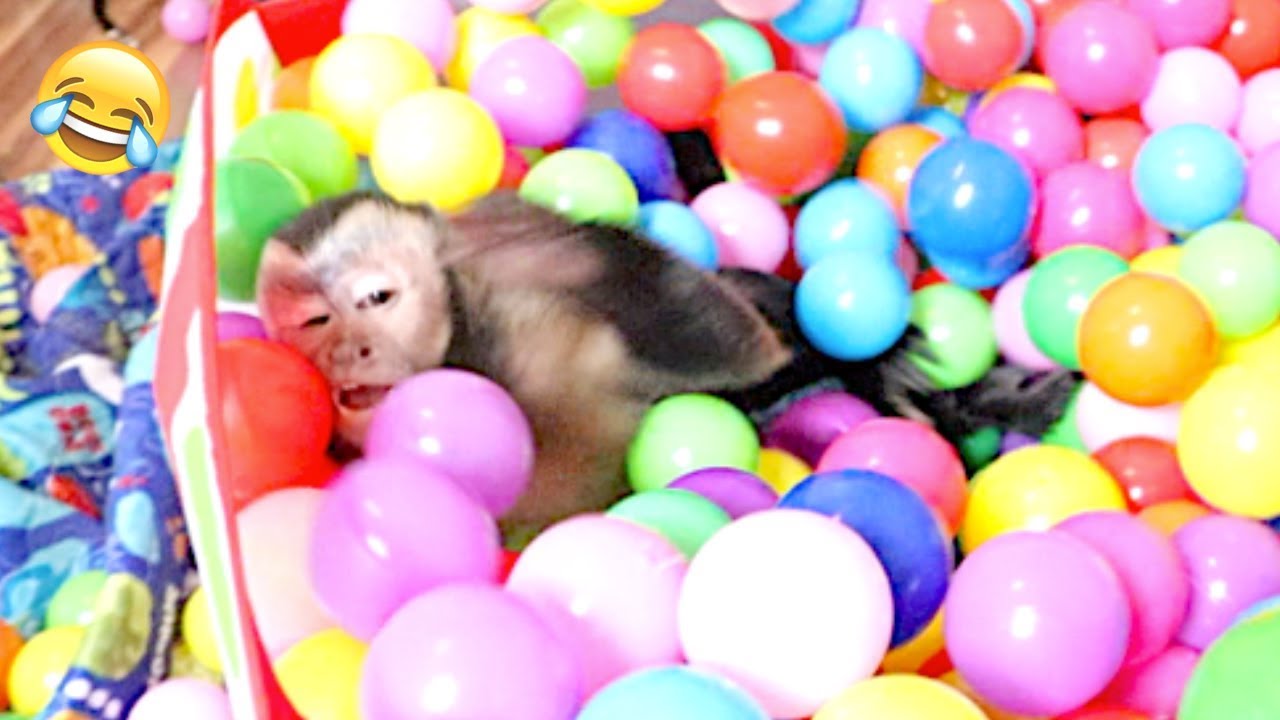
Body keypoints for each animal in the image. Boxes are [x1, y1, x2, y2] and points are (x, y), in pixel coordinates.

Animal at [255, 190, 1076, 546]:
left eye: (376, 299)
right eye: (315, 324)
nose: (351, 353)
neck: (473, 353)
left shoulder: (519, 287)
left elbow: (729, 336)